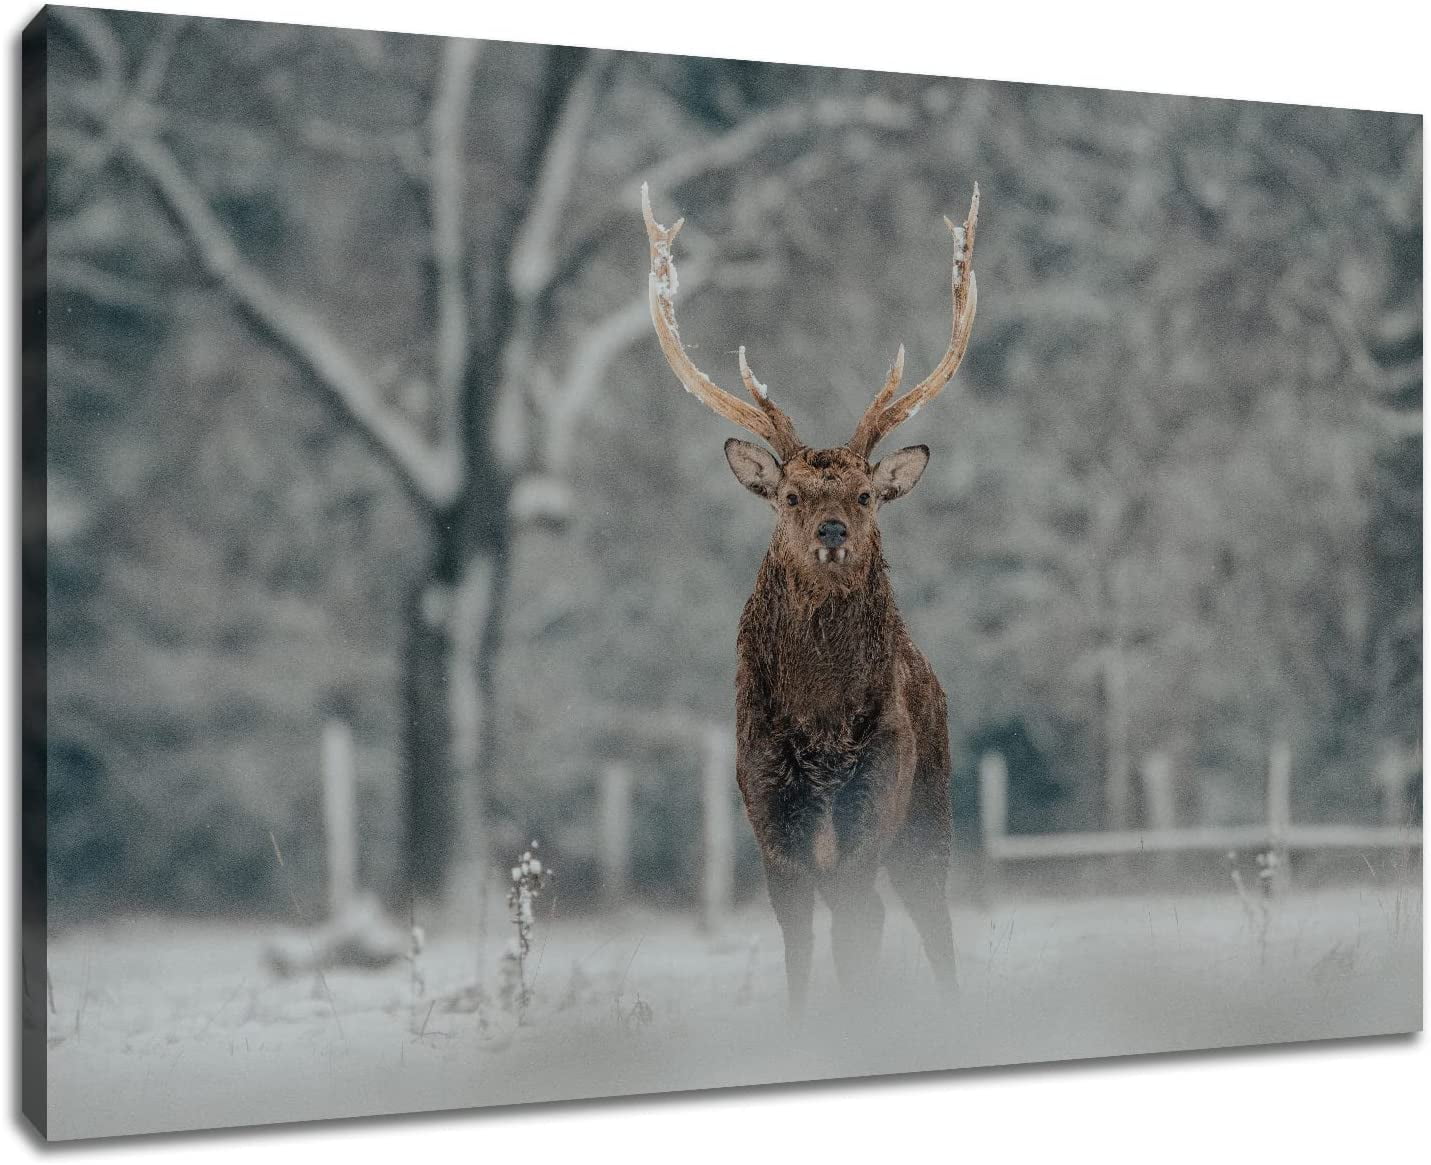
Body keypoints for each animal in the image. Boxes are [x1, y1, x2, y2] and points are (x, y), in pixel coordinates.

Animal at [641, 182, 980, 1014]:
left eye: (865, 493)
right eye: (790, 493)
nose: (831, 530)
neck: (821, 729)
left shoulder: (870, 804)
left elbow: (859, 937)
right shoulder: (771, 820)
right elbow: (799, 950)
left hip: (929, 805)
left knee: (926, 919)